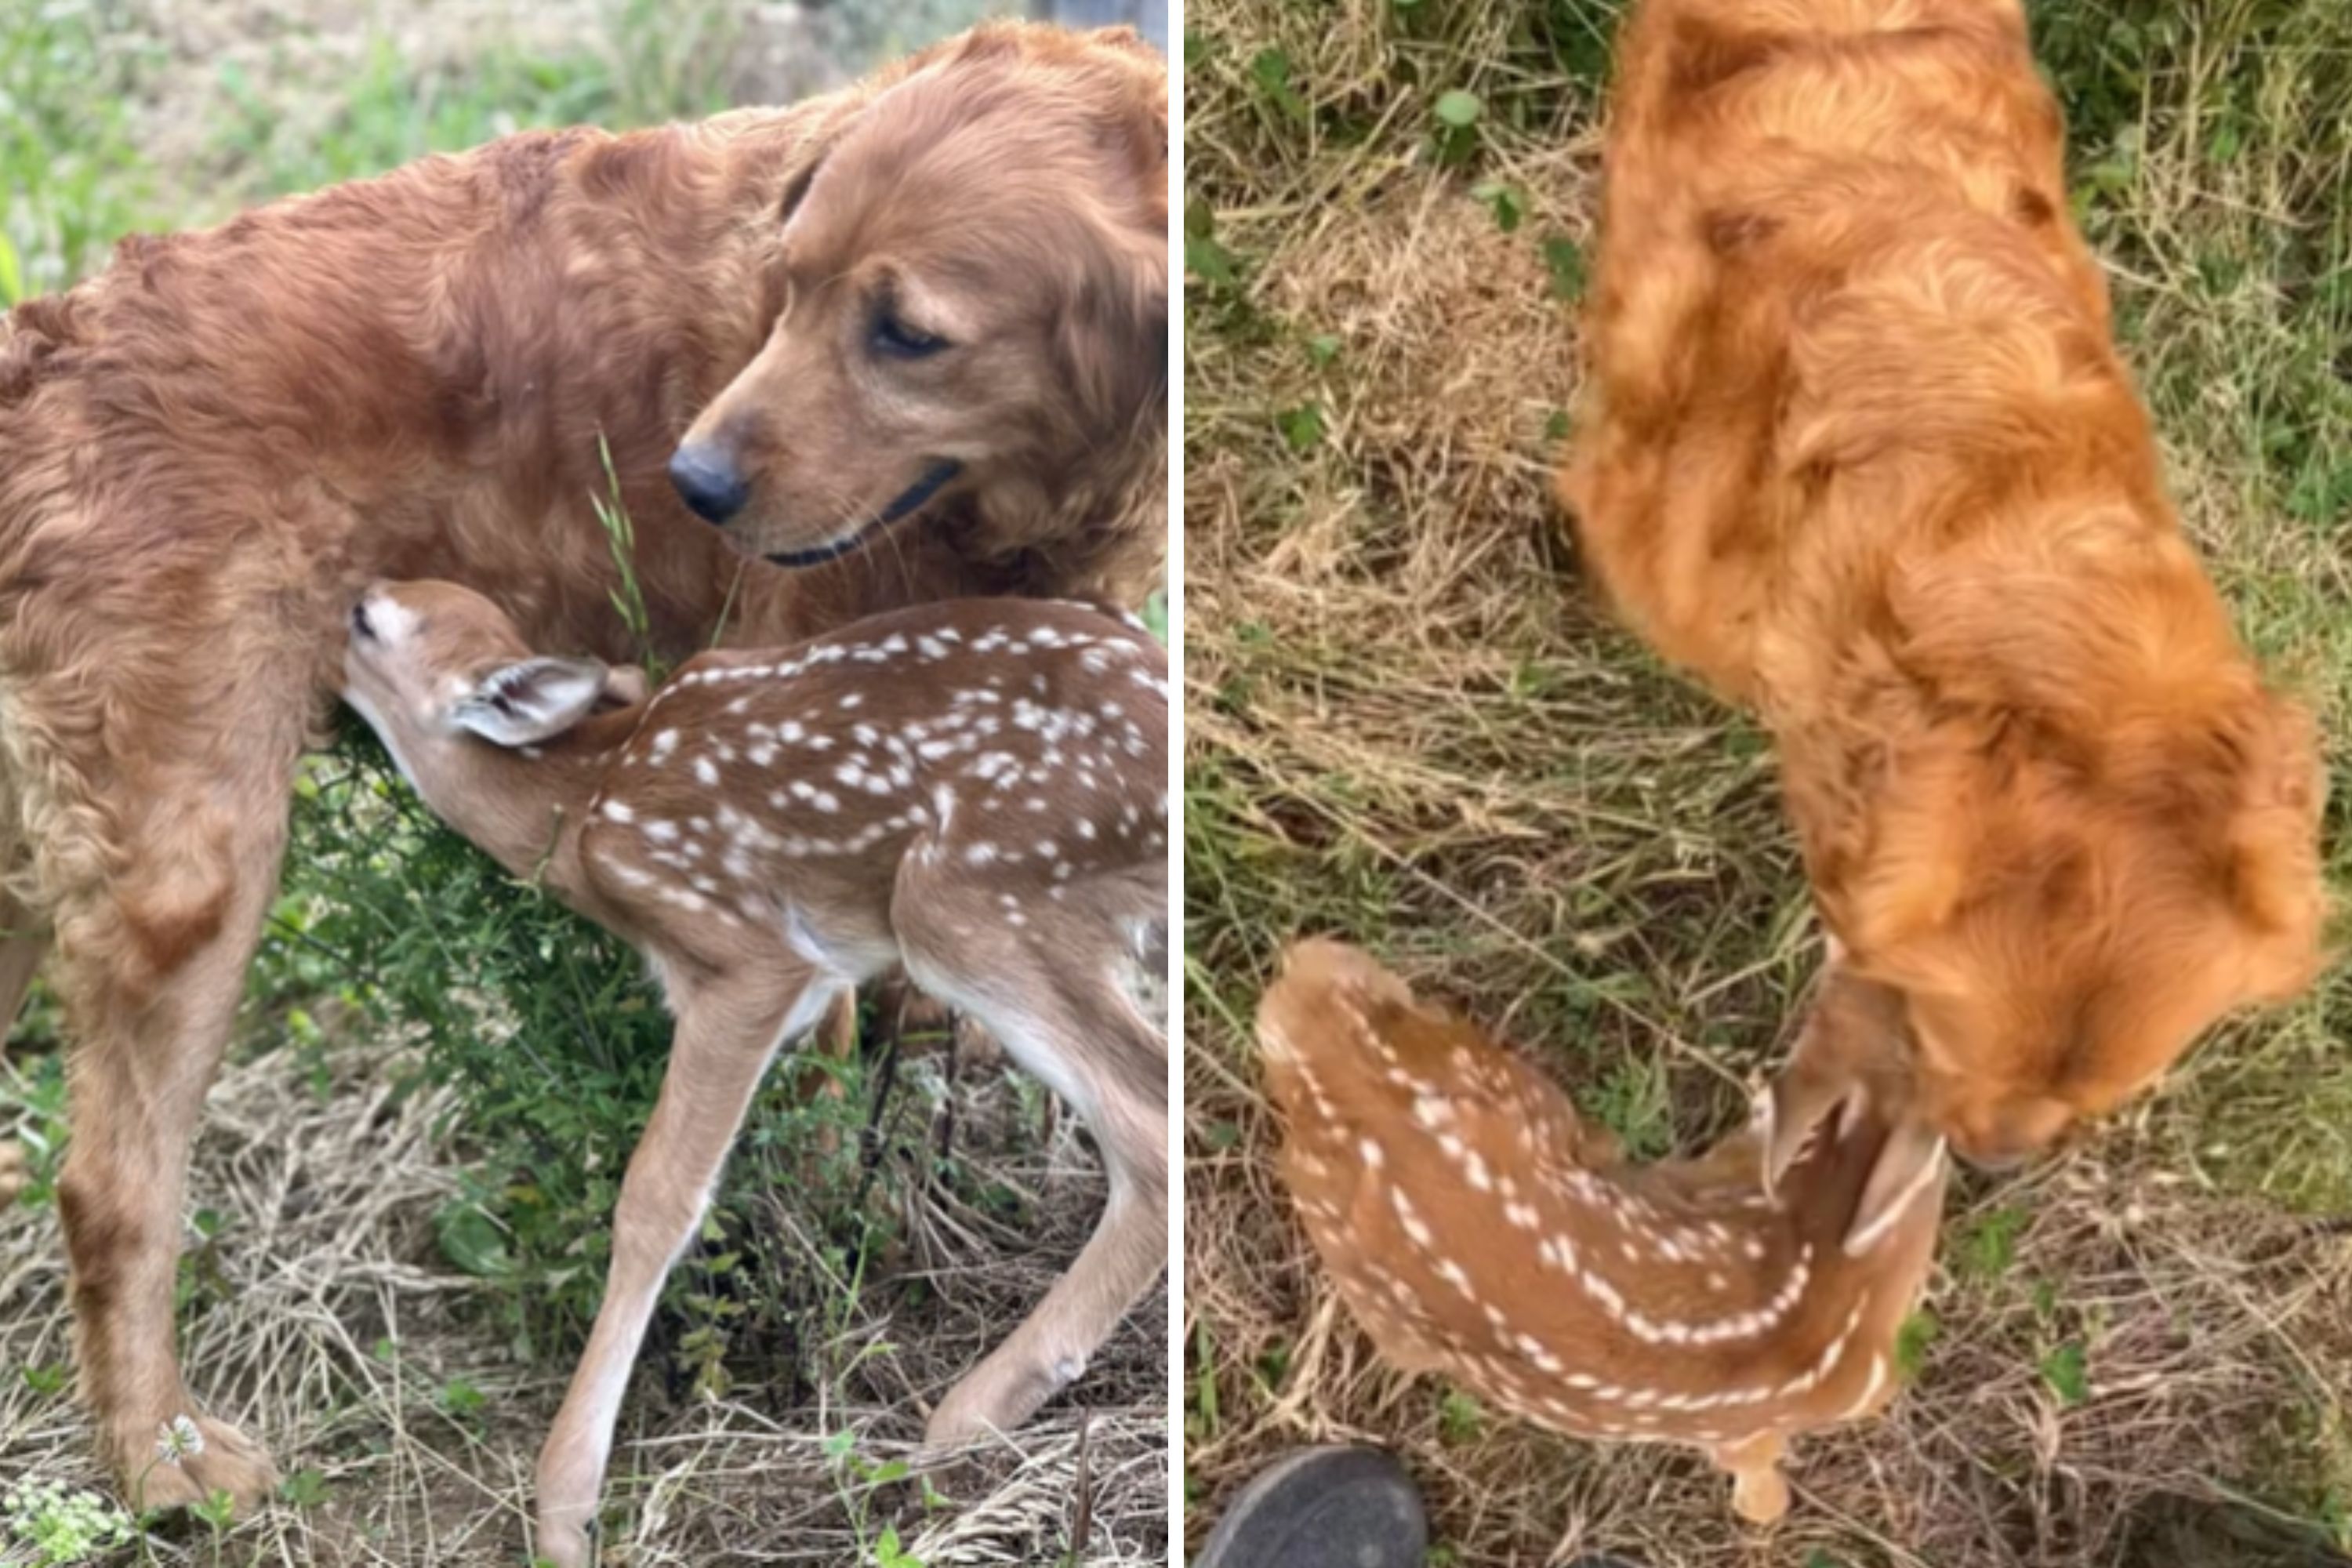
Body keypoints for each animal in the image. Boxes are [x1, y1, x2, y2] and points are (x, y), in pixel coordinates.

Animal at [339, 579, 1169, 1567]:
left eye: (368, 621)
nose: (342, 597)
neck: (579, 808)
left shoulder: (745, 953)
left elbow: (656, 1197)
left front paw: (564, 1508)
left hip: (967, 898)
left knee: (1152, 1124)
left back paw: (958, 1424)